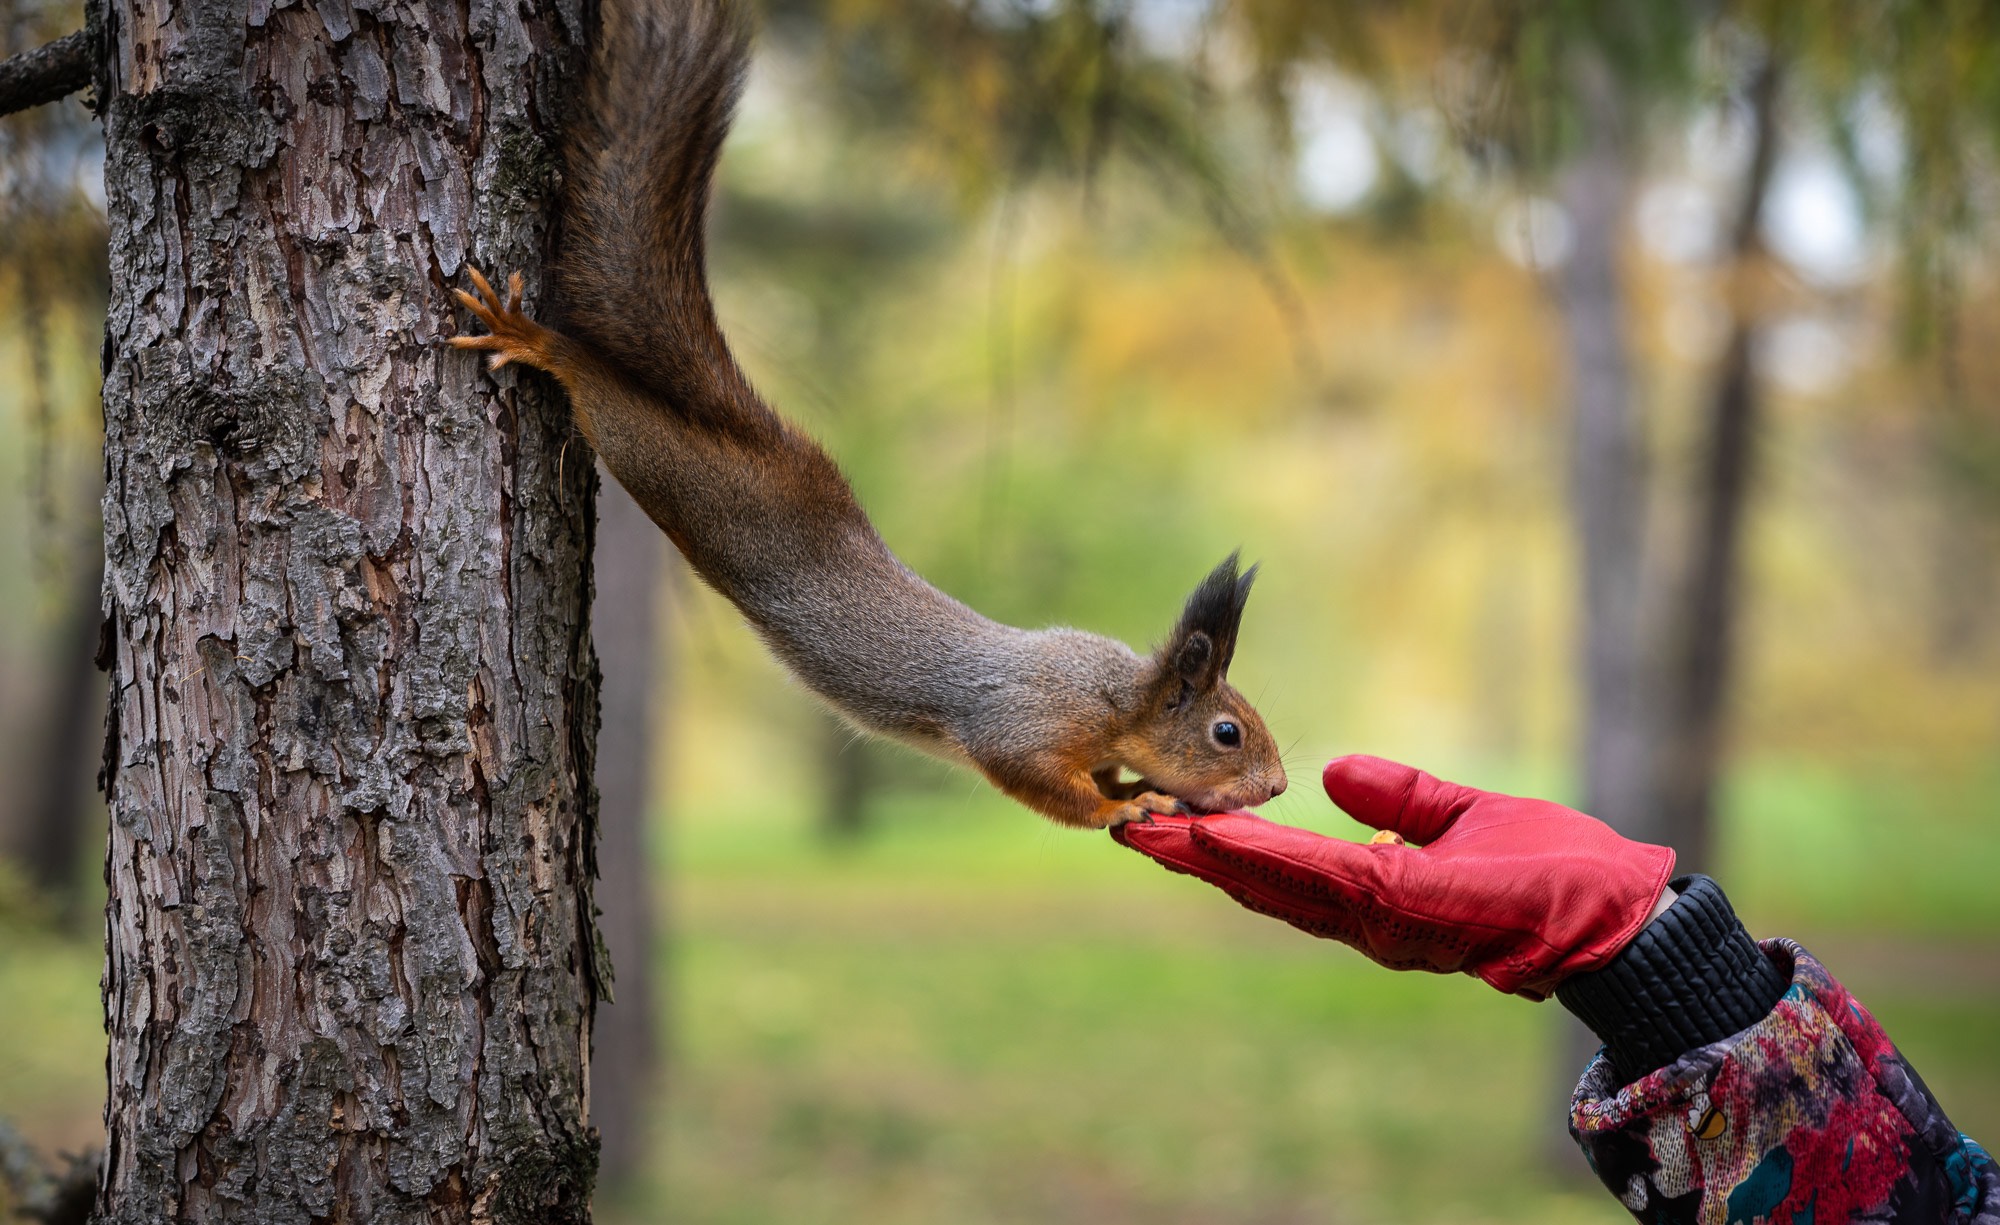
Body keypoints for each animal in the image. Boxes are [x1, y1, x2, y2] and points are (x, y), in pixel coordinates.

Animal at [448, 0, 1288, 832]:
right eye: (1227, 731)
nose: (1279, 785)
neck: (1121, 699)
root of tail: (770, 447)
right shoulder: (1028, 723)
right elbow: (1043, 782)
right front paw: (1131, 799)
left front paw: (1133, 785)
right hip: (675, 467)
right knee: (606, 395)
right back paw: (538, 342)